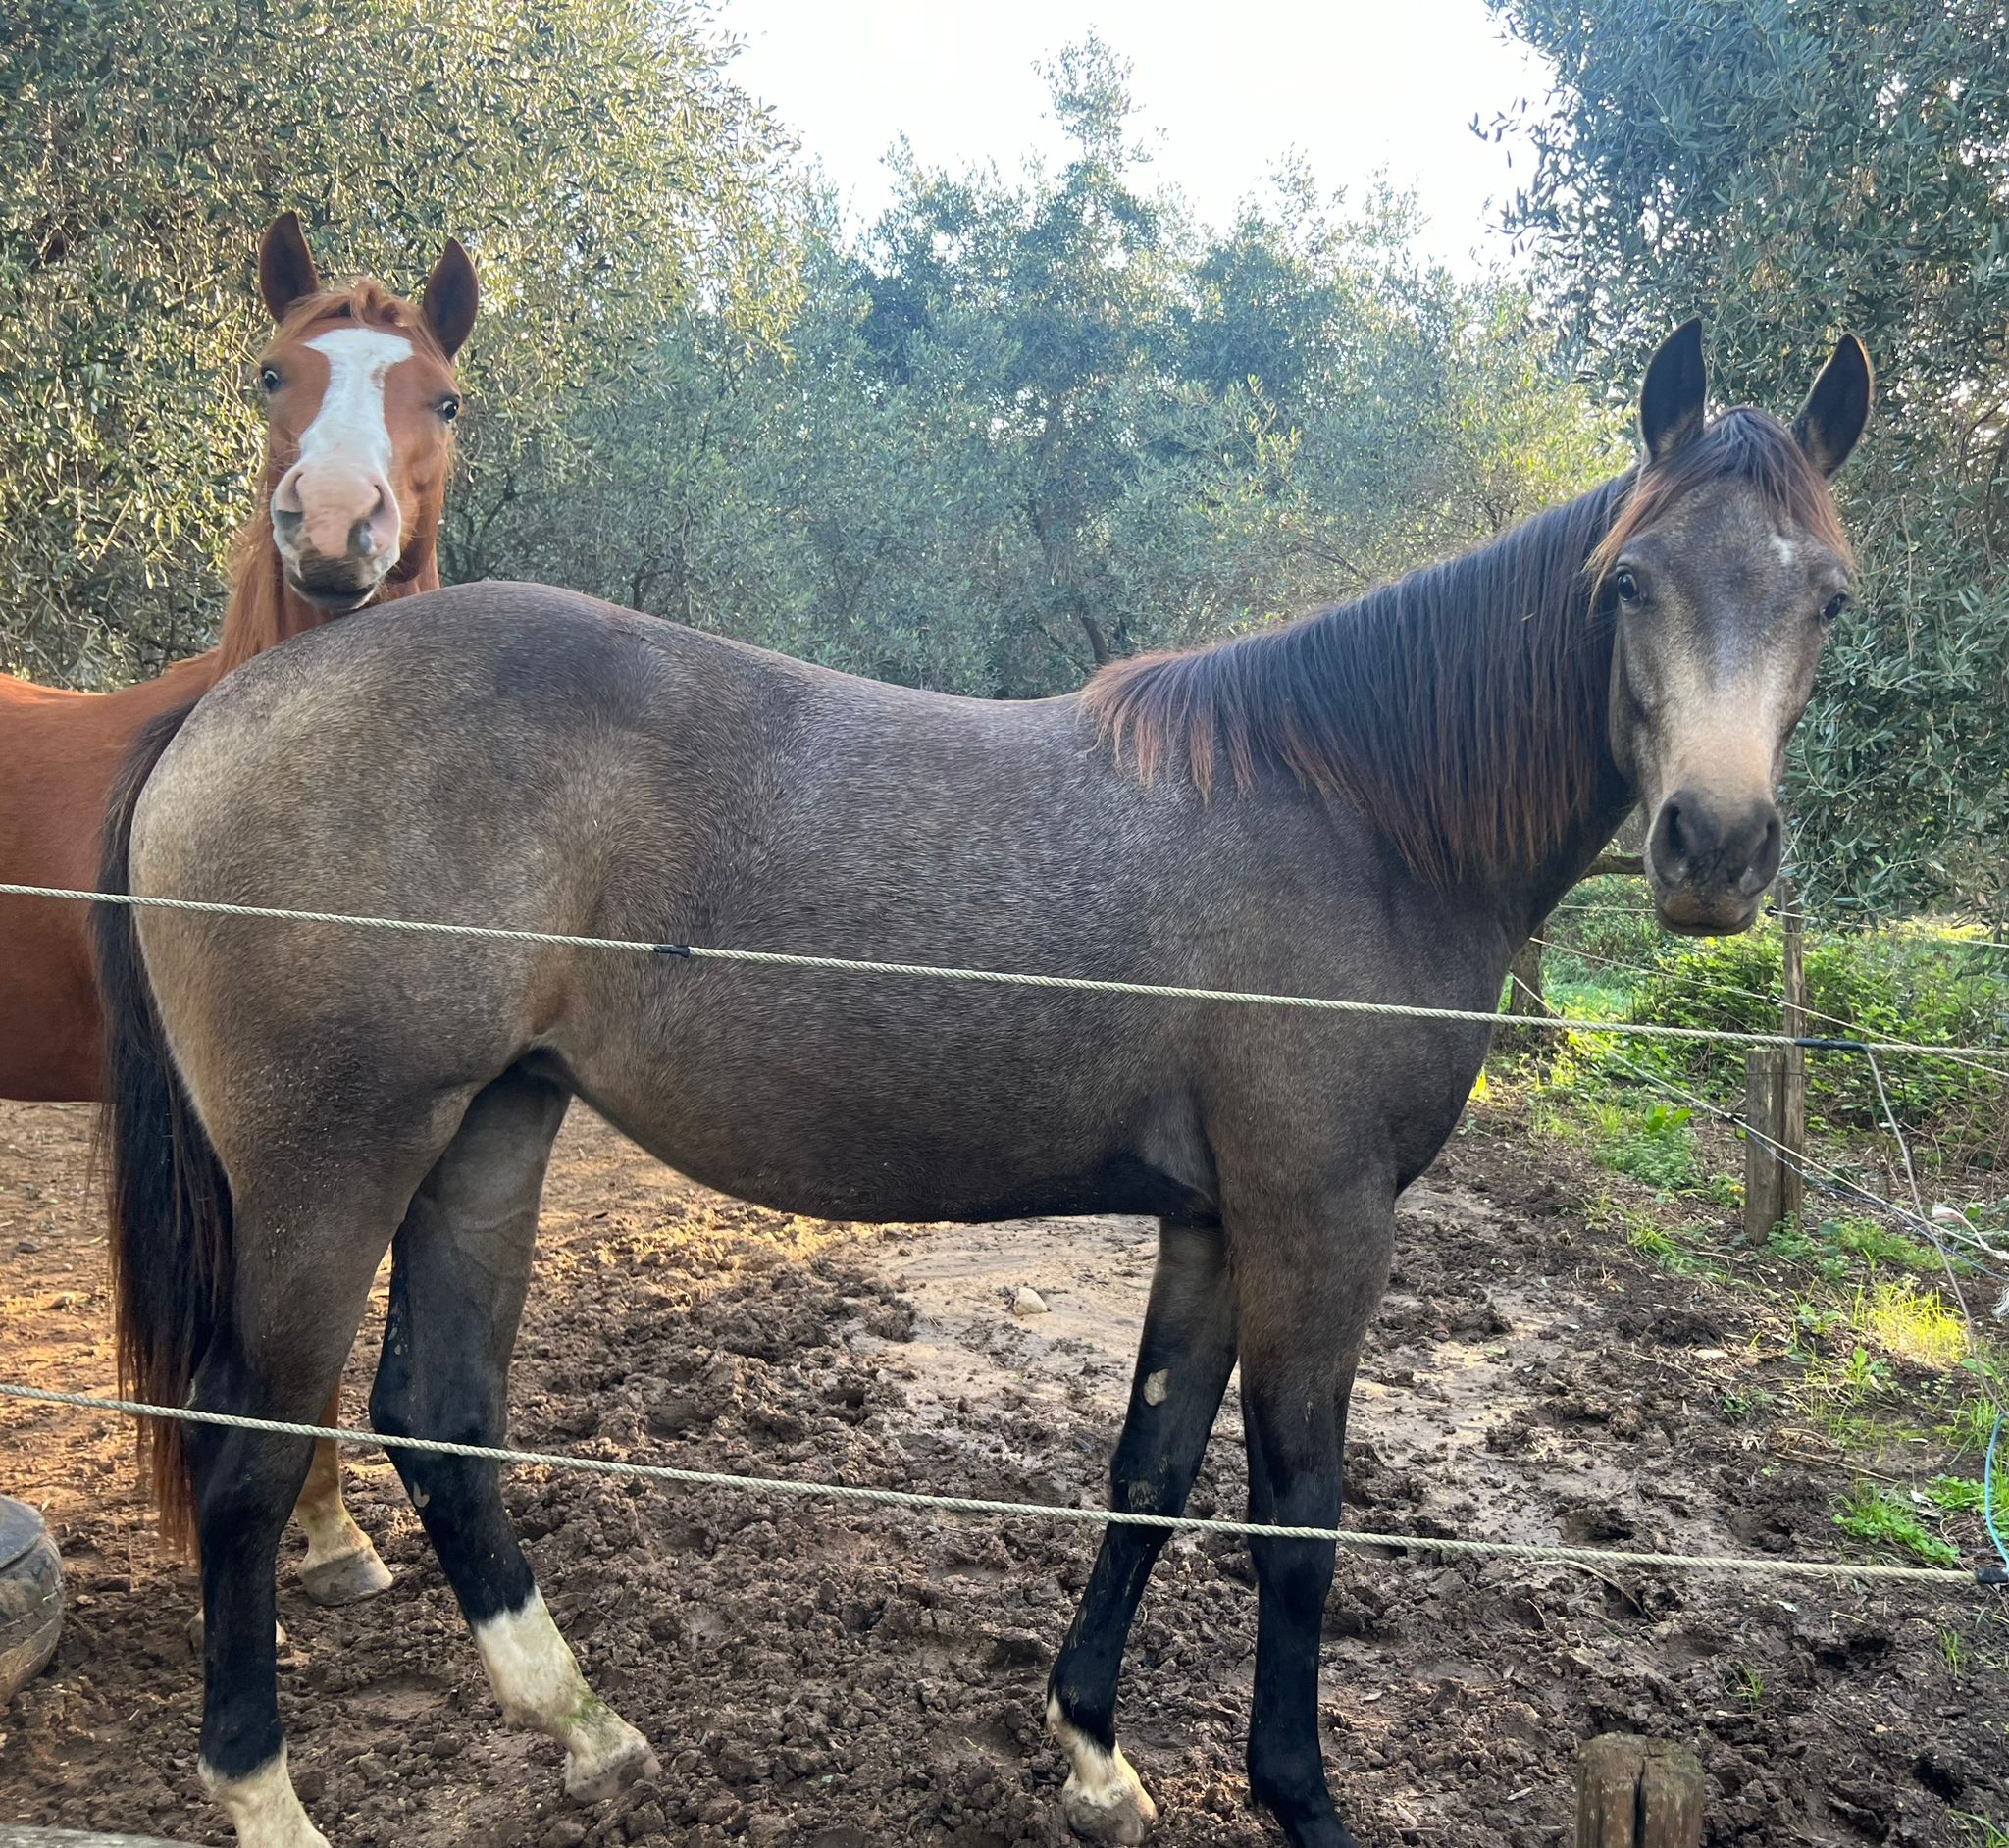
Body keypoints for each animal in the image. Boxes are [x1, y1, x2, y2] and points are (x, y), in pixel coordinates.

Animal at [94, 322, 1870, 1848]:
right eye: (1627, 581)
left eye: (1829, 601)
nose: (1716, 850)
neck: (1358, 812)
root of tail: (220, 711)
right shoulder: (1321, 1215)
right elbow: (1296, 1513)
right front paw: (1298, 1796)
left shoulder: (1214, 1221)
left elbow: (1151, 1473)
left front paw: (1093, 1750)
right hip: (333, 1163)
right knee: (250, 1454)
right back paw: (268, 1792)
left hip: (491, 1126)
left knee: (437, 1409)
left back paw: (590, 1727)